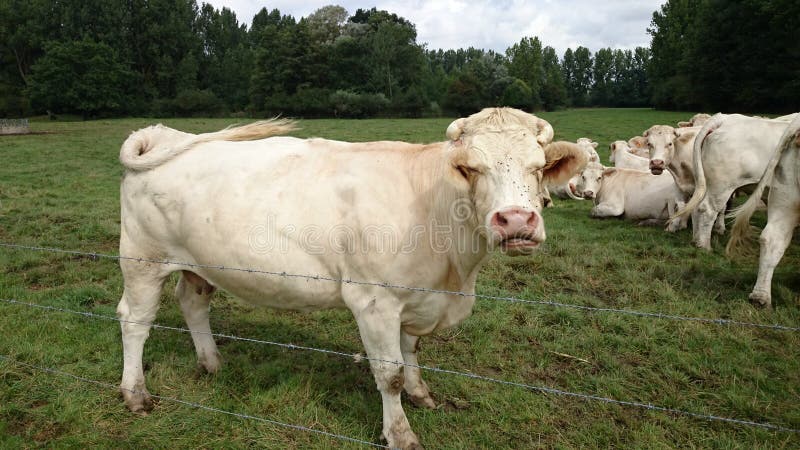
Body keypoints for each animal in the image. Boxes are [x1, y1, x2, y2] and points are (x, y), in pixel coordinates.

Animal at [115, 108, 586, 449]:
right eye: (472, 168)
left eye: (538, 167)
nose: (516, 221)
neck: (454, 276)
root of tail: (164, 135)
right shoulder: (375, 300)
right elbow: (389, 371)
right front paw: (400, 434)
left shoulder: (414, 297)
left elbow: (411, 351)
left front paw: (420, 392)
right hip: (141, 260)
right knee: (134, 321)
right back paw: (135, 393)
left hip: (197, 263)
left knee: (193, 303)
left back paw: (211, 363)